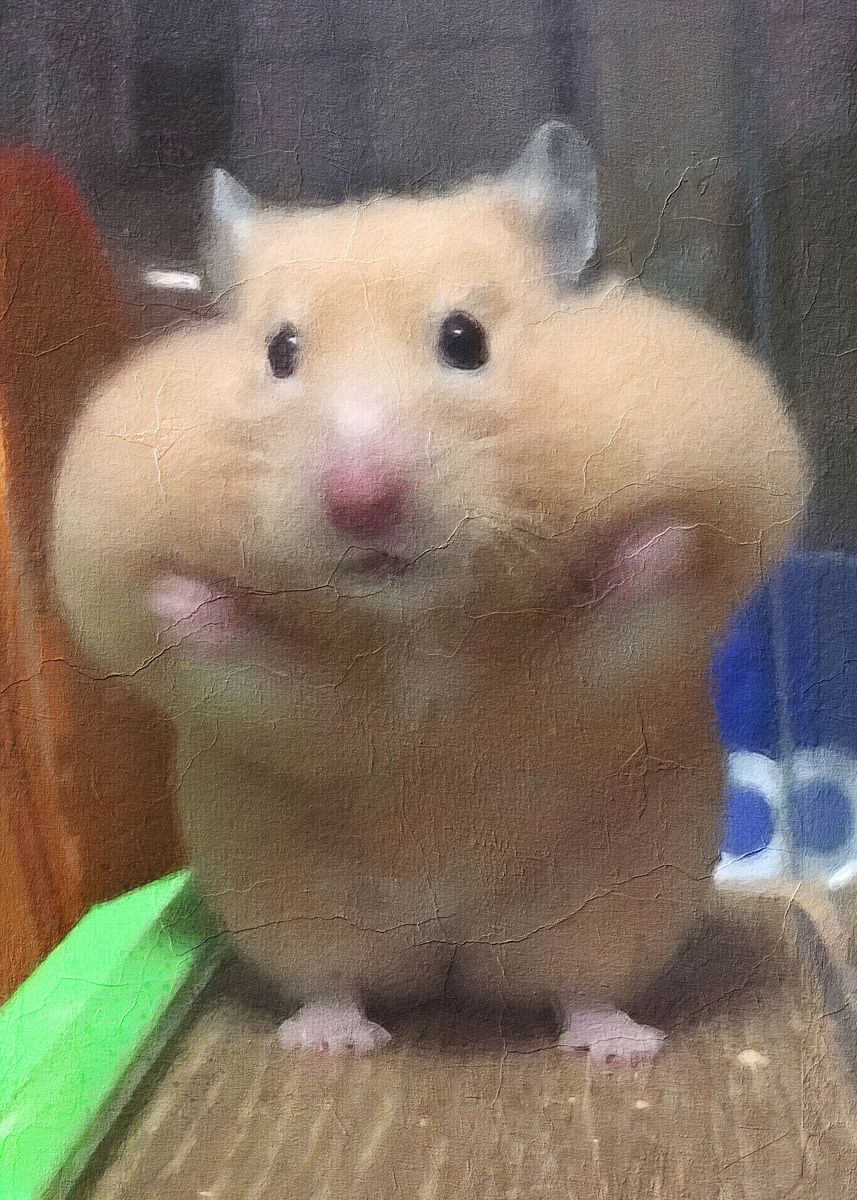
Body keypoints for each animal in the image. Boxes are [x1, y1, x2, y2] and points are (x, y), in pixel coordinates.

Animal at [51, 124, 807, 1065]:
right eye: (280, 352)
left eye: (463, 338)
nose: (360, 501)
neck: (417, 619)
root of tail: (450, 952)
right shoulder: (257, 693)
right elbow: (226, 644)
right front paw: (194, 599)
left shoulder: (630, 633)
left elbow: (640, 586)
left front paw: (646, 546)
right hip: (297, 912)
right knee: (336, 980)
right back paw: (331, 1041)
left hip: (609, 909)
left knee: (576, 990)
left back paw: (619, 1046)